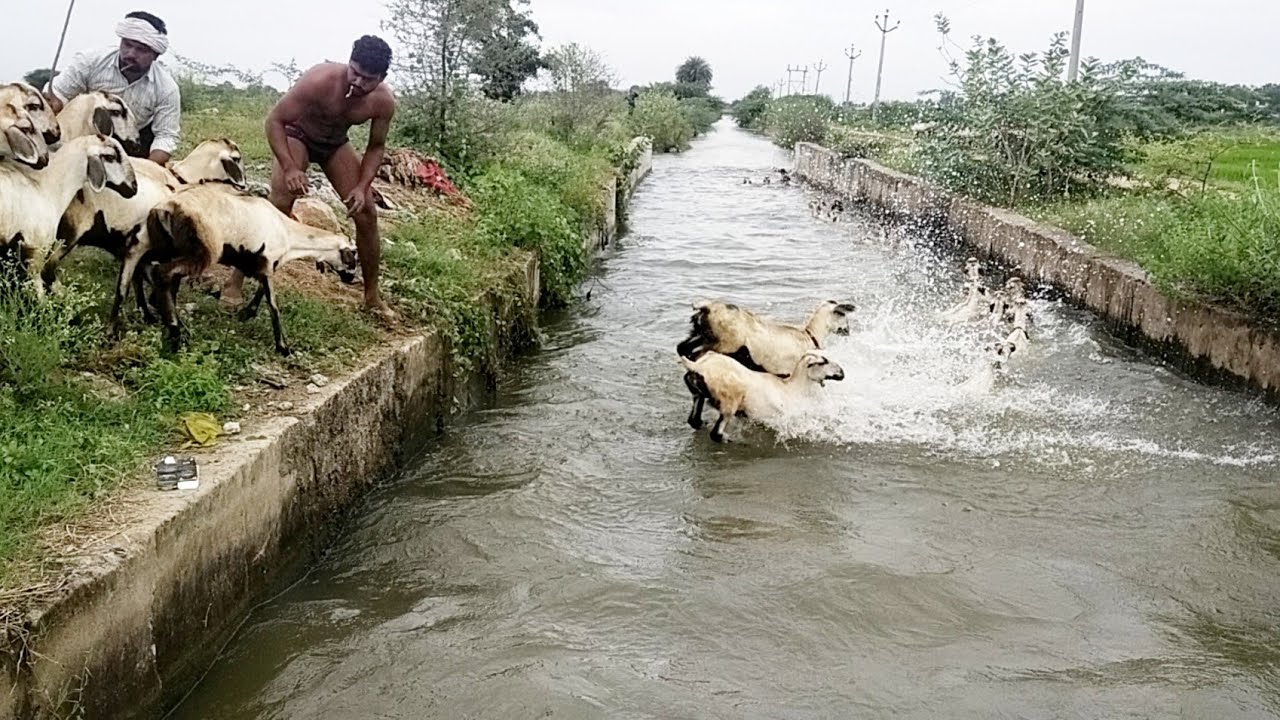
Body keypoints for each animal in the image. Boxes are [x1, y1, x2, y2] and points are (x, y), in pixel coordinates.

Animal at [45, 139, 245, 332]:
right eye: (237, 158)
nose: (244, 186)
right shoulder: (137, 247)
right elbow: (126, 288)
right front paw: (114, 330)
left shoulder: (135, 251)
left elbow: (142, 280)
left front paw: (149, 313)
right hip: (67, 236)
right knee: (46, 270)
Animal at [145, 182, 360, 355]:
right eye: (353, 256)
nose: (352, 279)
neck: (287, 233)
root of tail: (165, 209)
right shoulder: (266, 262)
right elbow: (273, 305)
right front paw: (283, 347)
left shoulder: (264, 267)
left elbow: (261, 292)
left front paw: (247, 313)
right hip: (201, 253)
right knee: (161, 273)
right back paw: (176, 335)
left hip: (168, 249)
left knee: (159, 281)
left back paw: (176, 327)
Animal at [678, 298, 856, 377]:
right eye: (843, 315)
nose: (848, 331)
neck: (809, 334)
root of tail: (707, 307)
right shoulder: (787, 371)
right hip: (723, 343)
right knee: (696, 353)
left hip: (700, 334)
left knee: (683, 348)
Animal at [681, 350, 846, 443]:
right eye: (824, 361)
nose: (842, 372)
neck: (793, 388)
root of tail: (698, 366)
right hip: (730, 402)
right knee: (716, 434)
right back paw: (734, 440)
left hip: (698, 393)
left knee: (694, 420)